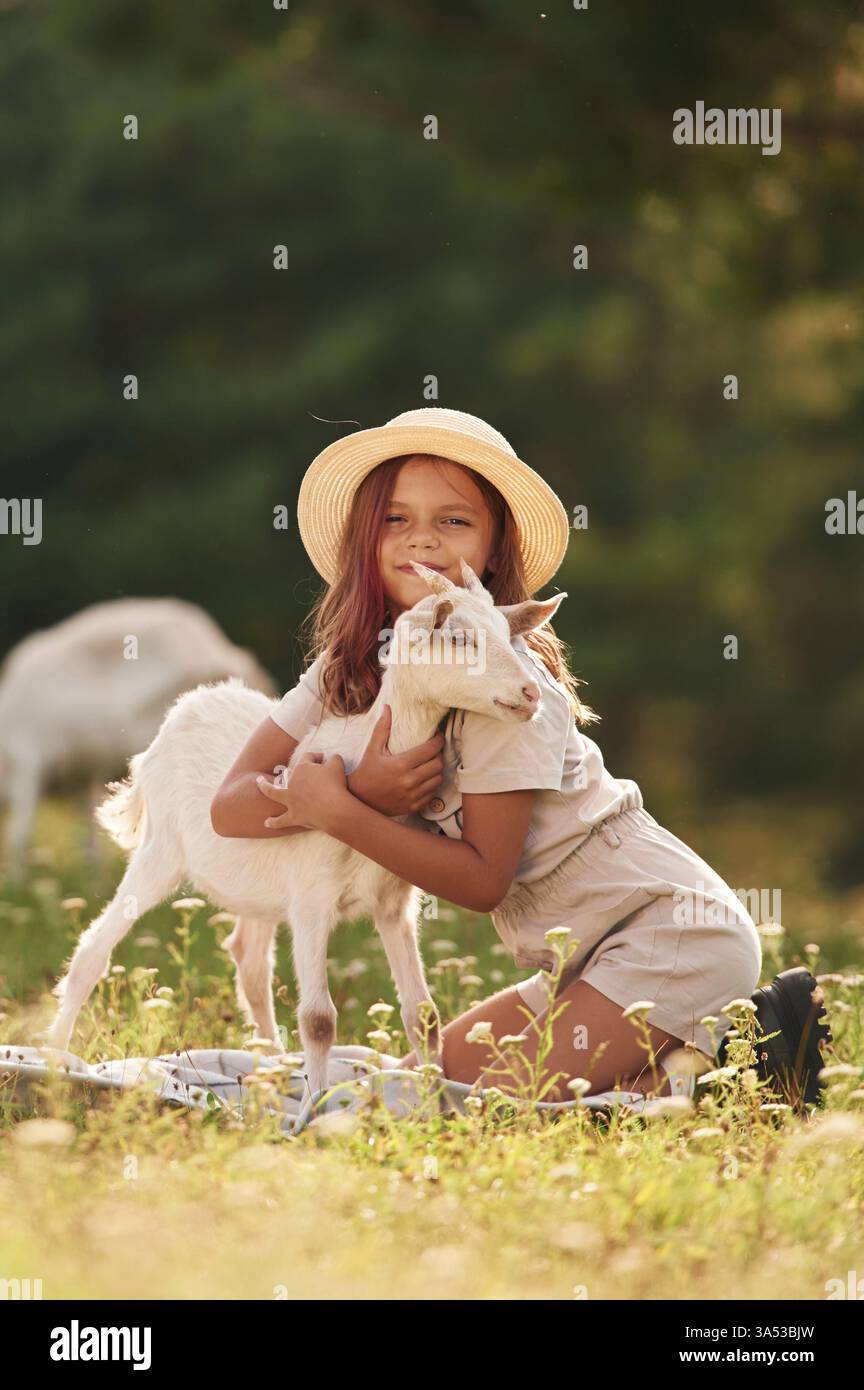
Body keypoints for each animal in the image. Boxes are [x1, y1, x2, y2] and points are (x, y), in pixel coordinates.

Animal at [43, 561, 566, 1100]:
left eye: (508, 633)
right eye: (460, 637)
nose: (529, 694)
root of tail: (190, 704)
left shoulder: (394, 904)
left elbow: (423, 1015)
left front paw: (432, 1101)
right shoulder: (312, 897)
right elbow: (318, 1019)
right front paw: (316, 1108)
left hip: (258, 887)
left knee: (250, 964)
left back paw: (272, 1067)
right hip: (161, 849)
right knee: (93, 949)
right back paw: (56, 1063)